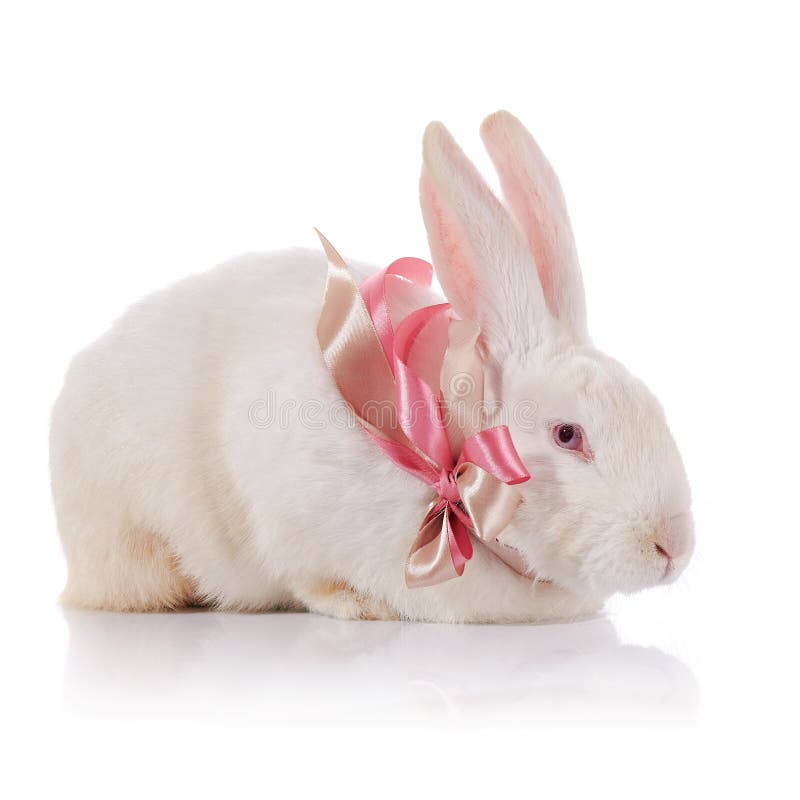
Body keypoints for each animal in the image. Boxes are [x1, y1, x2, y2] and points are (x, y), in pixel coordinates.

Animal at [49, 111, 694, 623]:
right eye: (567, 435)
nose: (675, 547)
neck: (445, 447)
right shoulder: (290, 502)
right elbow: (310, 575)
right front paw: (356, 605)